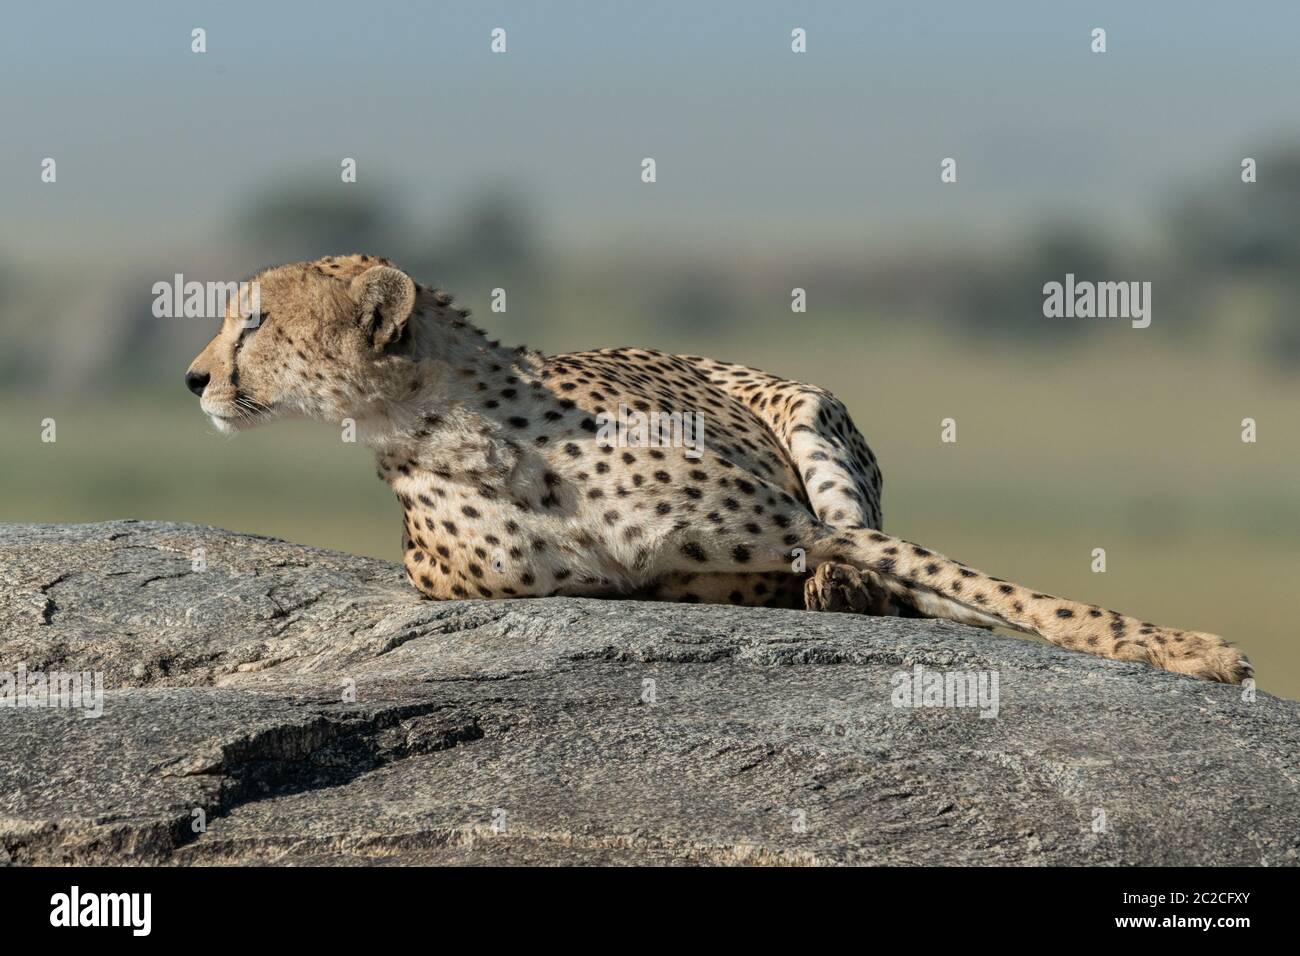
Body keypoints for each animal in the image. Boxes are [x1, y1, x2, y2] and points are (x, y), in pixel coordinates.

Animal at [184, 254, 1252, 684]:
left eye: (256, 322)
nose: (195, 378)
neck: (449, 430)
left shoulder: (789, 525)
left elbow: (1000, 589)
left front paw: (1188, 650)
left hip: (811, 419)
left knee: (871, 556)